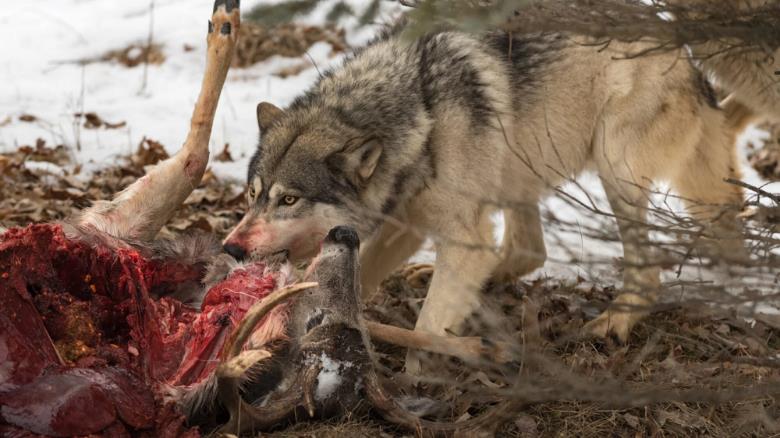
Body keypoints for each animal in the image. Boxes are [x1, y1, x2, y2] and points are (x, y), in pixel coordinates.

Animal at [222, 17, 777, 371]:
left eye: (289, 199)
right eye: (253, 195)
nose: (231, 247)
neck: (417, 111)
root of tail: (683, 50)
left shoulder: (458, 234)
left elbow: (426, 326)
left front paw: (415, 381)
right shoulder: (407, 225)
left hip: (614, 171)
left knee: (643, 266)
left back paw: (617, 322)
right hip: (521, 169)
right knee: (531, 251)